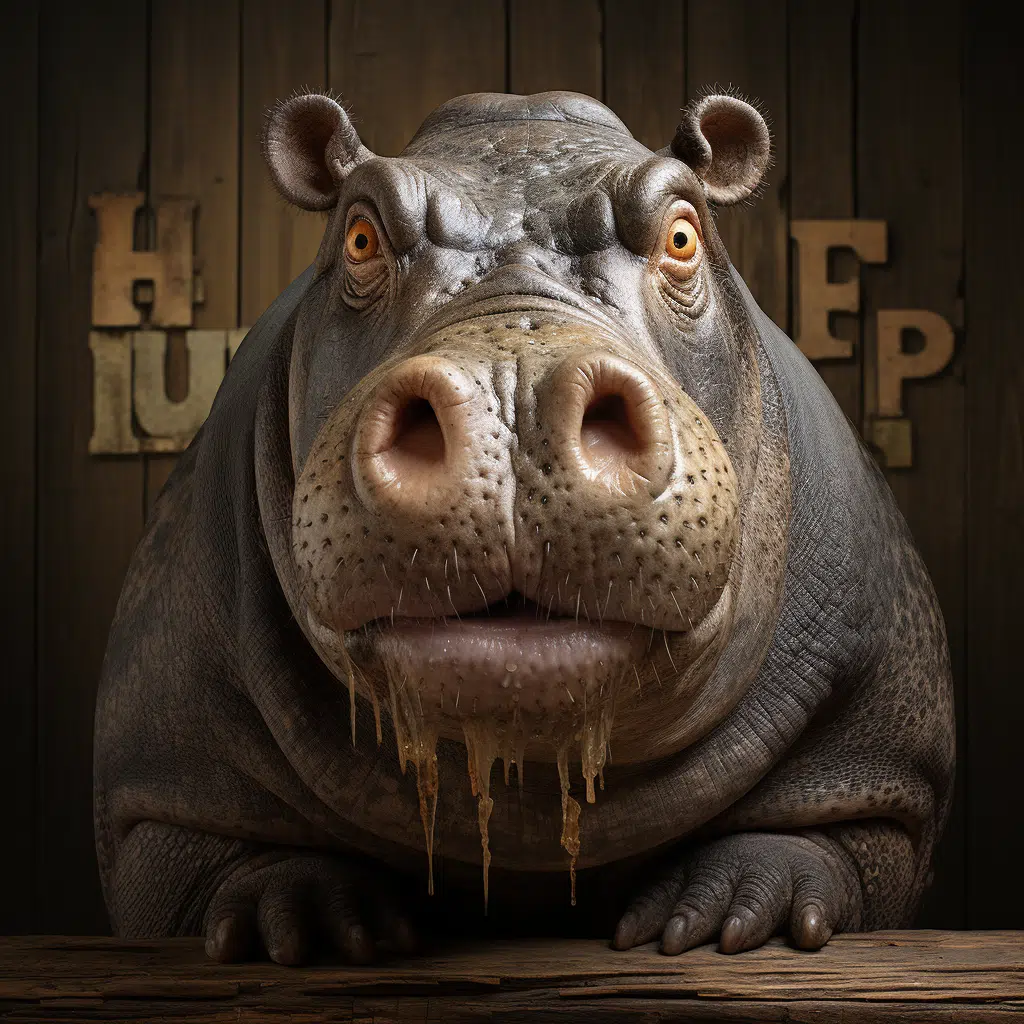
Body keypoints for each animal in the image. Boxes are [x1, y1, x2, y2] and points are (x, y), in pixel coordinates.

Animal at [94, 89, 954, 965]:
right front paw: (310, 927)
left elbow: (828, 834)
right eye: (359, 234)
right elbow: (220, 856)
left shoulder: (884, 765)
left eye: (684, 233)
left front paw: (732, 920)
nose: (515, 386)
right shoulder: (158, 783)